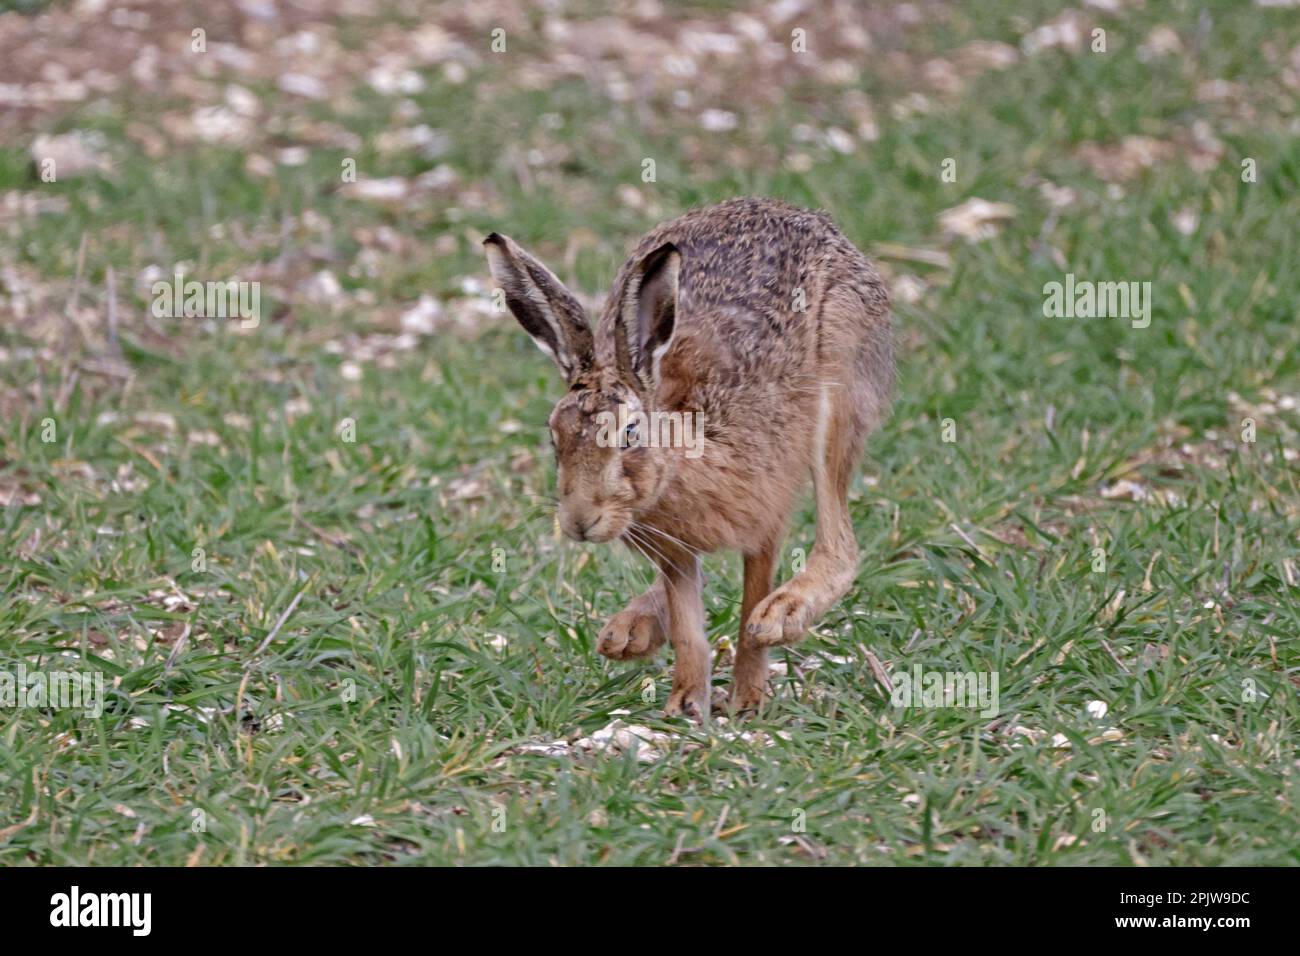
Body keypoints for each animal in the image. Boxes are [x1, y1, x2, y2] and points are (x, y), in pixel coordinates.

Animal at [484, 197, 892, 720]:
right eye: (554, 435)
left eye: (630, 433)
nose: (578, 521)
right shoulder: (674, 549)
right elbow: (686, 628)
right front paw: (685, 703)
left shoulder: (763, 518)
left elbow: (750, 606)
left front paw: (748, 698)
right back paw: (631, 630)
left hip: (839, 380)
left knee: (839, 536)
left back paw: (783, 614)